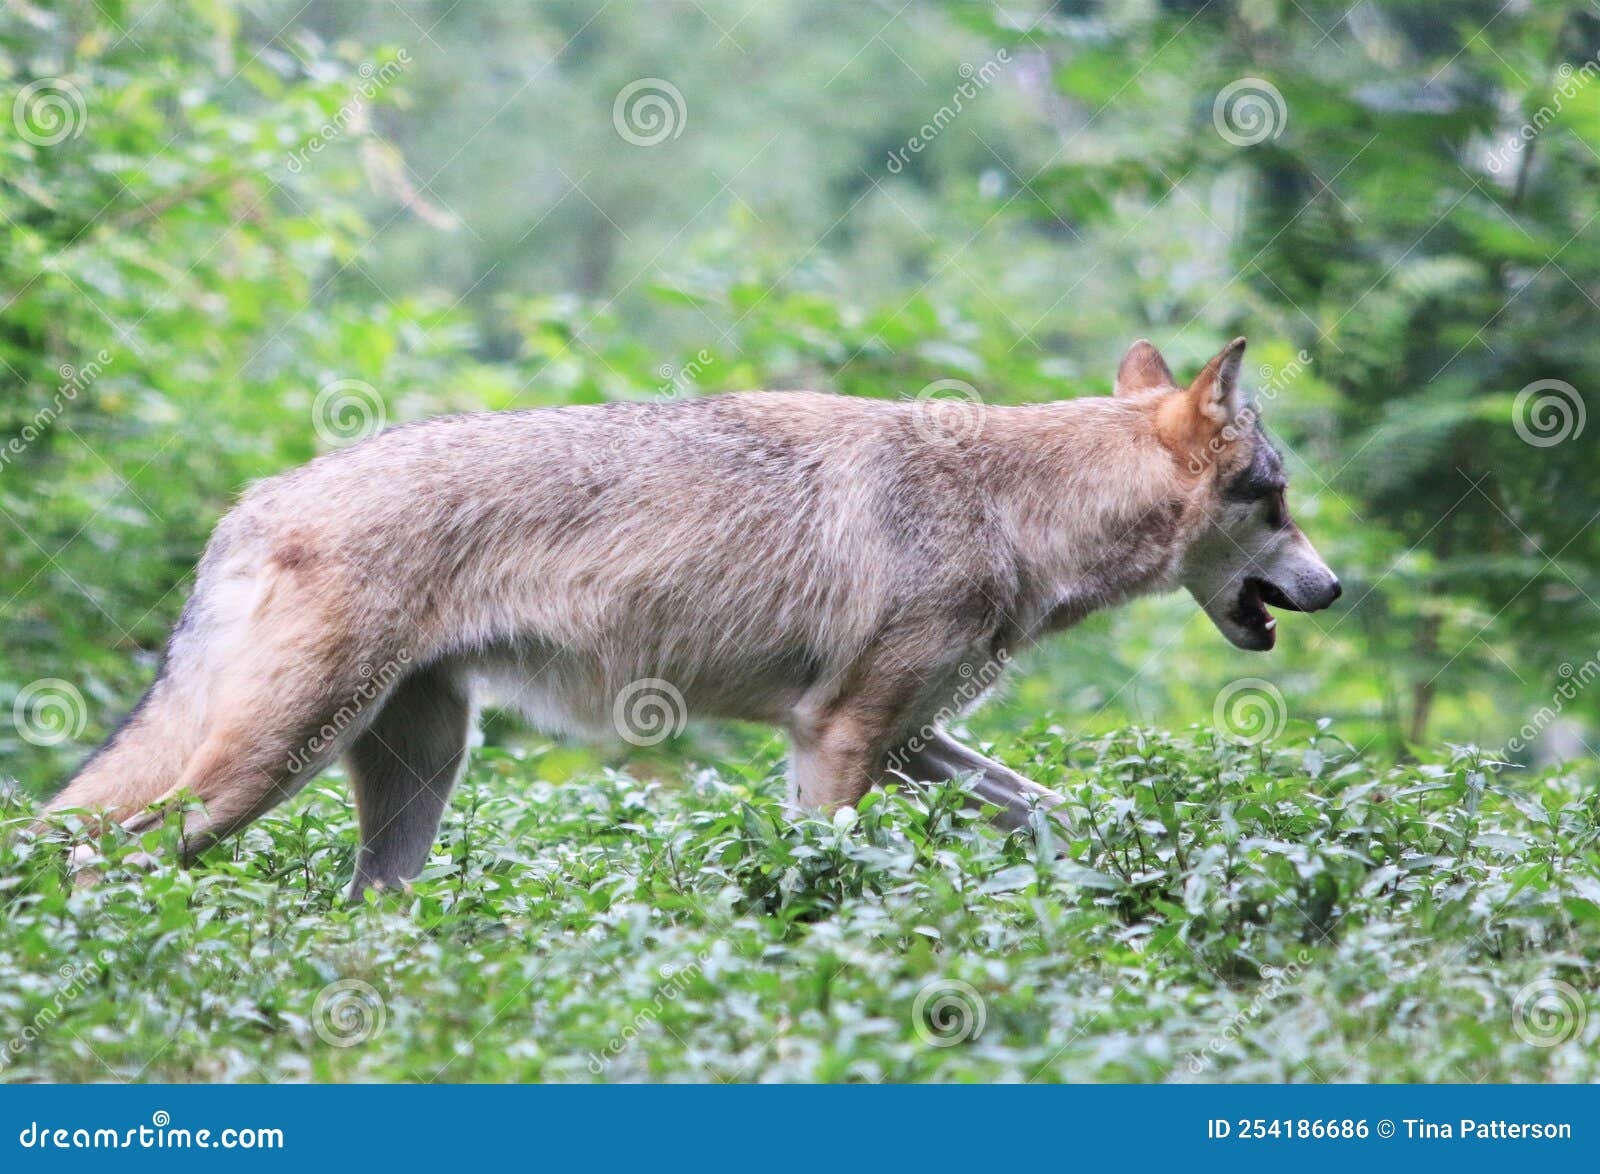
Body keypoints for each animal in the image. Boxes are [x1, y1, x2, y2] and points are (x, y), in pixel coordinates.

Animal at [45, 337, 1339, 896]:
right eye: (1277, 498)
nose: (1336, 588)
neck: (1011, 507)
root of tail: (256, 499)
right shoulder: (841, 741)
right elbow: (829, 870)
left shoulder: (909, 739)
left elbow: (1062, 814)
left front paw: (1164, 873)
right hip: (264, 767)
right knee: (95, 844)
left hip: (412, 777)